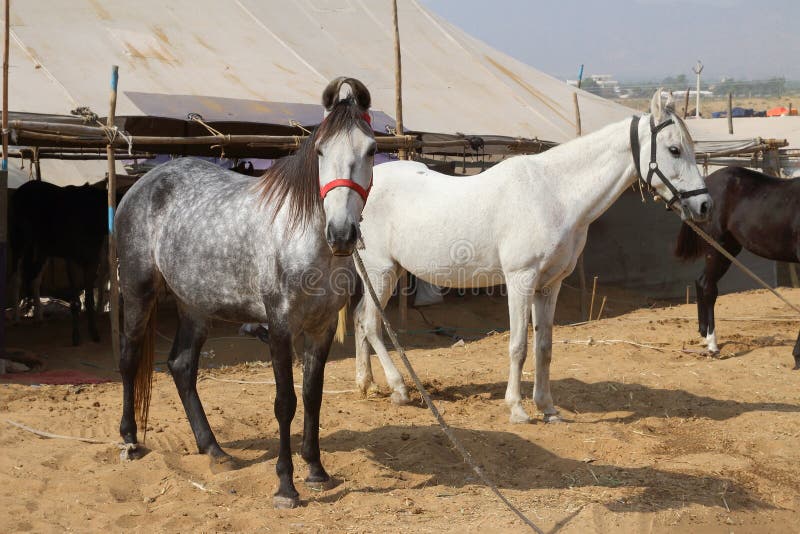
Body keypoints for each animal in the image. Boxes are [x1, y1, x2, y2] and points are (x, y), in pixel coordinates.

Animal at [9, 180, 108, 345]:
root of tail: (20, 190)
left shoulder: (92, 261)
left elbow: (89, 300)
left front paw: (94, 334)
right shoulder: (72, 261)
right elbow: (75, 302)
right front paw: (76, 338)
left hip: (42, 251)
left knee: (34, 279)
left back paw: (39, 318)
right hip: (19, 243)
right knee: (17, 278)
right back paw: (17, 319)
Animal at [115, 77, 375, 509]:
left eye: (371, 150)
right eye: (321, 150)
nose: (341, 234)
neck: (303, 236)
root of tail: (142, 183)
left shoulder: (320, 329)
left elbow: (313, 396)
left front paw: (317, 471)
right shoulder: (280, 327)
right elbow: (285, 403)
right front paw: (286, 486)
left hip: (195, 305)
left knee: (181, 366)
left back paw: (214, 450)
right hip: (138, 293)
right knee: (129, 359)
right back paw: (130, 440)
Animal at [353, 90, 712, 423]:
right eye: (674, 149)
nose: (704, 205)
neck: (554, 194)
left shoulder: (549, 285)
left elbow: (544, 346)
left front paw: (547, 407)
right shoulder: (520, 279)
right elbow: (518, 346)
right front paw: (517, 408)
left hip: (385, 272)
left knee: (360, 318)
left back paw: (366, 384)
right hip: (382, 270)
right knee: (372, 324)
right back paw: (399, 389)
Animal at [674, 166, 800, 366]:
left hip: (729, 248)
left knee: (701, 281)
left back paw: (703, 334)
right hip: (717, 246)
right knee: (708, 287)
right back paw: (713, 345)